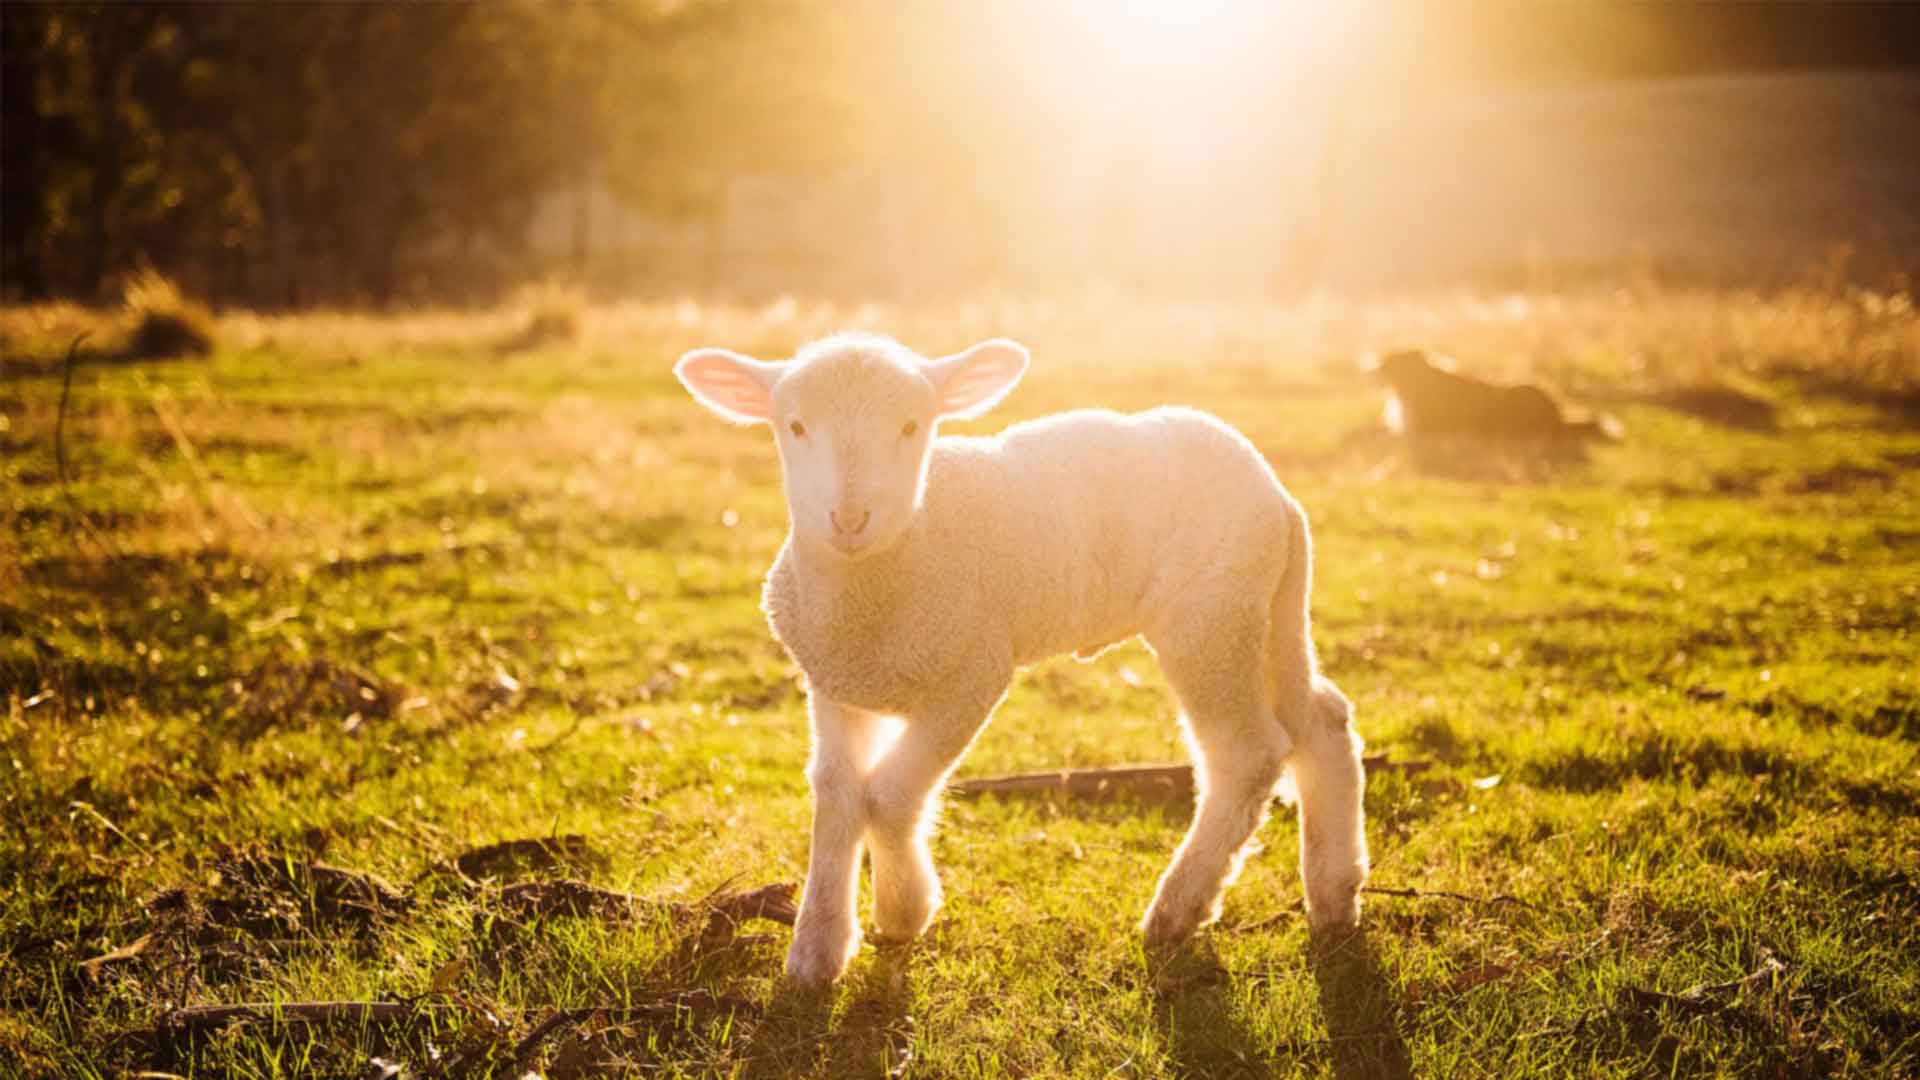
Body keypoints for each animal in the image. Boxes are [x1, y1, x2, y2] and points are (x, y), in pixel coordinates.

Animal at [675, 332, 1368, 987]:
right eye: (794, 426)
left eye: (911, 426)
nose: (849, 518)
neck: (884, 574)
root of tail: (1278, 496)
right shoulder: (835, 684)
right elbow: (837, 794)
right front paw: (817, 949)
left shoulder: (972, 674)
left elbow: (890, 794)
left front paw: (903, 910)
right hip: (1268, 609)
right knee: (1322, 720)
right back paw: (1335, 894)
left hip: (1210, 617)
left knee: (1245, 755)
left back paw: (1178, 909)